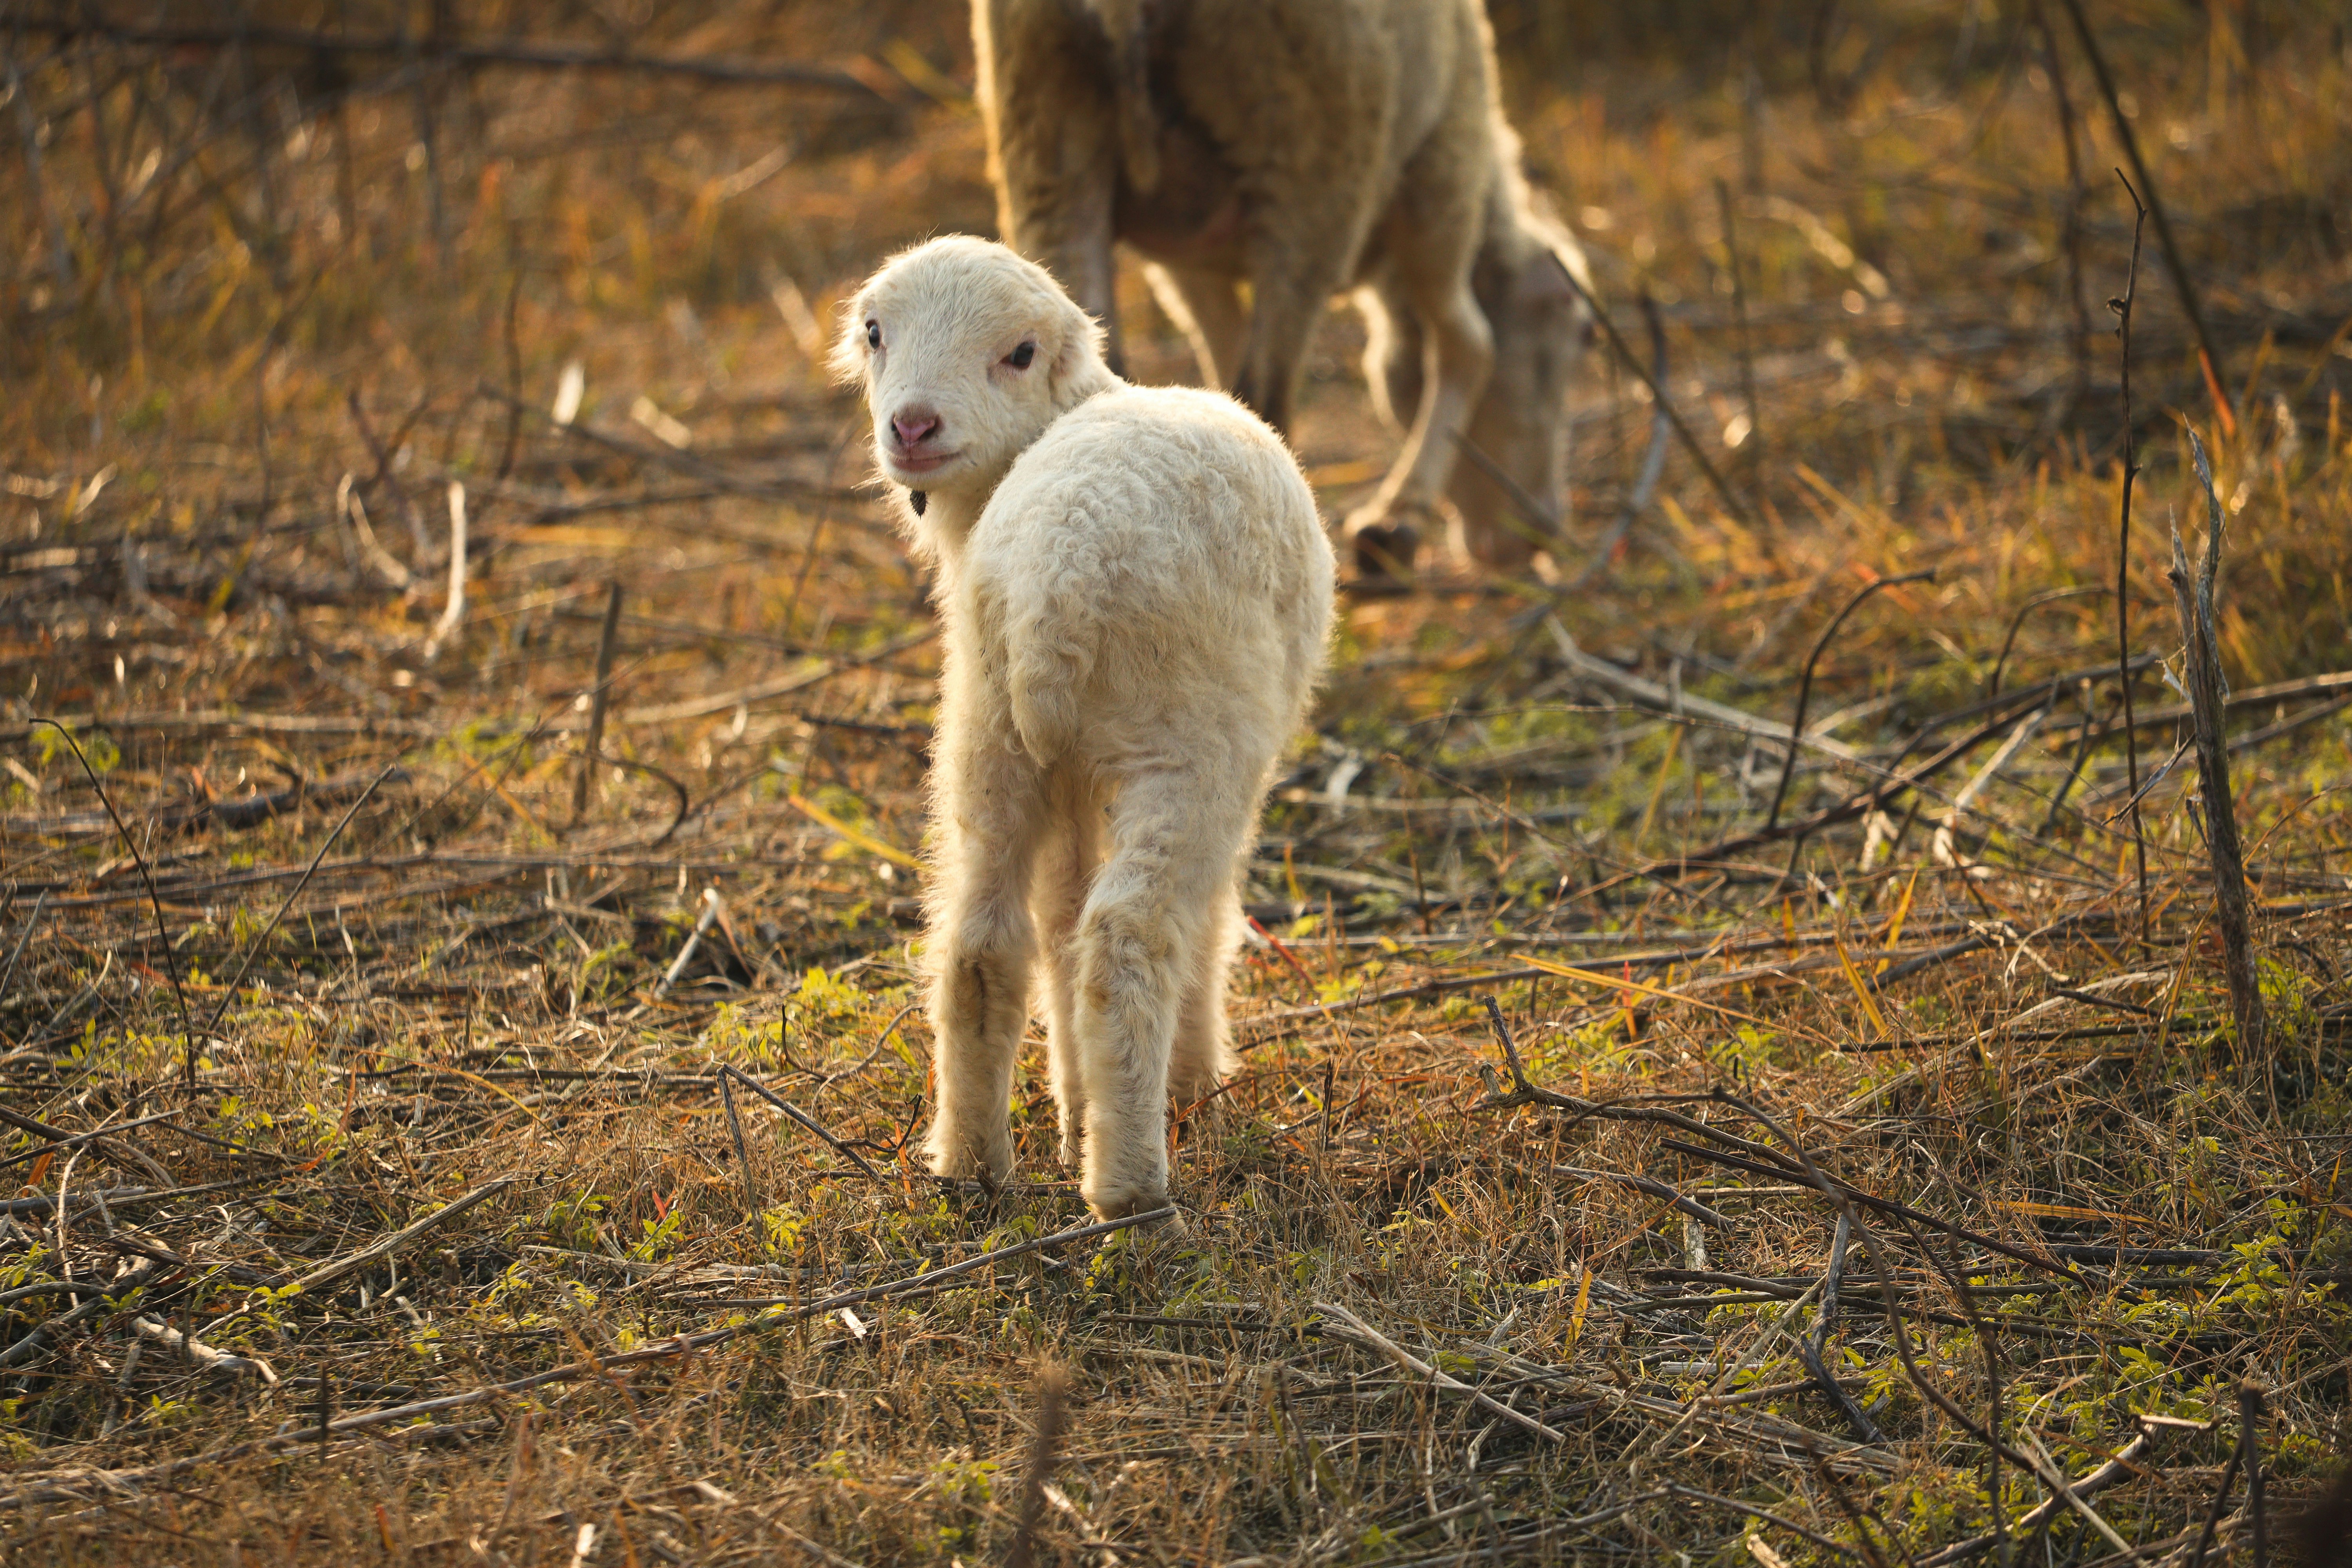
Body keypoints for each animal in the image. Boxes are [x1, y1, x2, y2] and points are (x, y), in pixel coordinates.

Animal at [832, 236, 1335, 1219]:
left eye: (1019, 353)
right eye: (875, 333)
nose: (912, 426)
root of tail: (1055, 575)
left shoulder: (1060, 770)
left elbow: (1057, 914)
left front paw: (1071, 1115)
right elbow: (1202, 925)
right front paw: (1192, 1094)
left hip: (987, 732)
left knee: (982, 941)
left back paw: (976, 1168)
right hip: (1192, 744)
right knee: (1129, 939)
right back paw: (1133, 1187)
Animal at [972, 0, 1595, 578]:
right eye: (1573, 338)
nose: (1542, 535)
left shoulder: (1186, 260)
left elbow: (1219, 366)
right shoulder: (1445, 164)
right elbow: (1468, 346)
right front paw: (1399, 521)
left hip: (1046, 134)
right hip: (1313, 150)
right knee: (1272, 392)